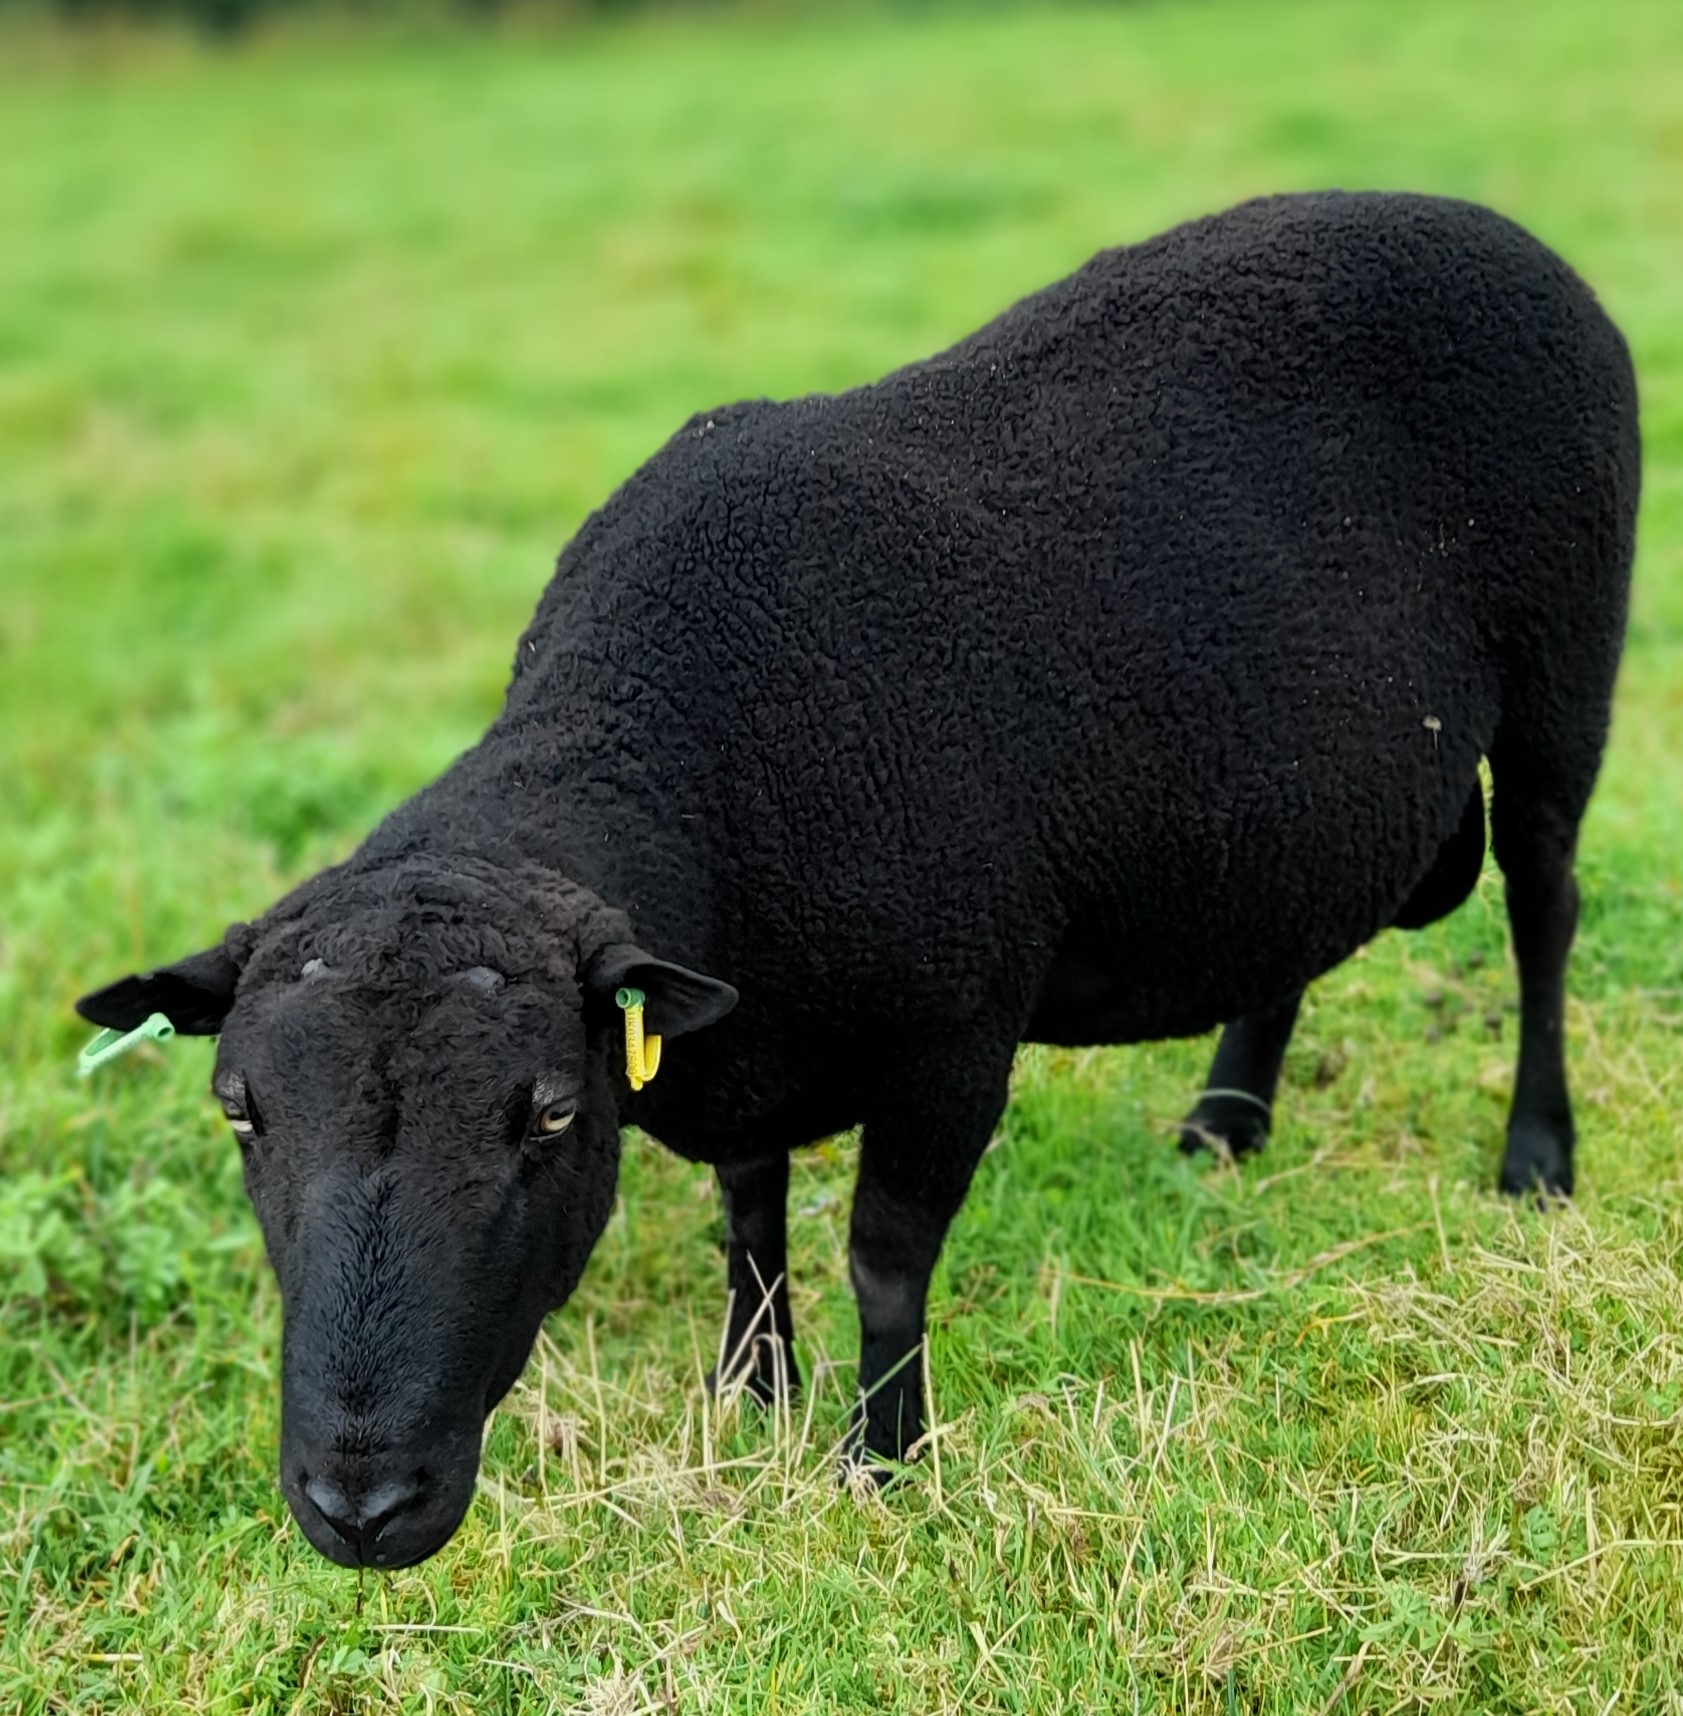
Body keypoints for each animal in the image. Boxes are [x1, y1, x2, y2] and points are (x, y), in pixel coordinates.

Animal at [77, 191, 1640, 1568]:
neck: (674, 749)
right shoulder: (727, 1021)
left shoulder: (954, 1031)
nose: (361, 1507)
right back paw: (1221, 1127)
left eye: (549, 1114)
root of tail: (1493, 225)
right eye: (238, 1110)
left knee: (1543, 912)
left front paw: (881, 1463)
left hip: (1564, 671)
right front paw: (746, 1393)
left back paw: (1533, 1163)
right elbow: (747, 1214)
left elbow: (882, 1256)